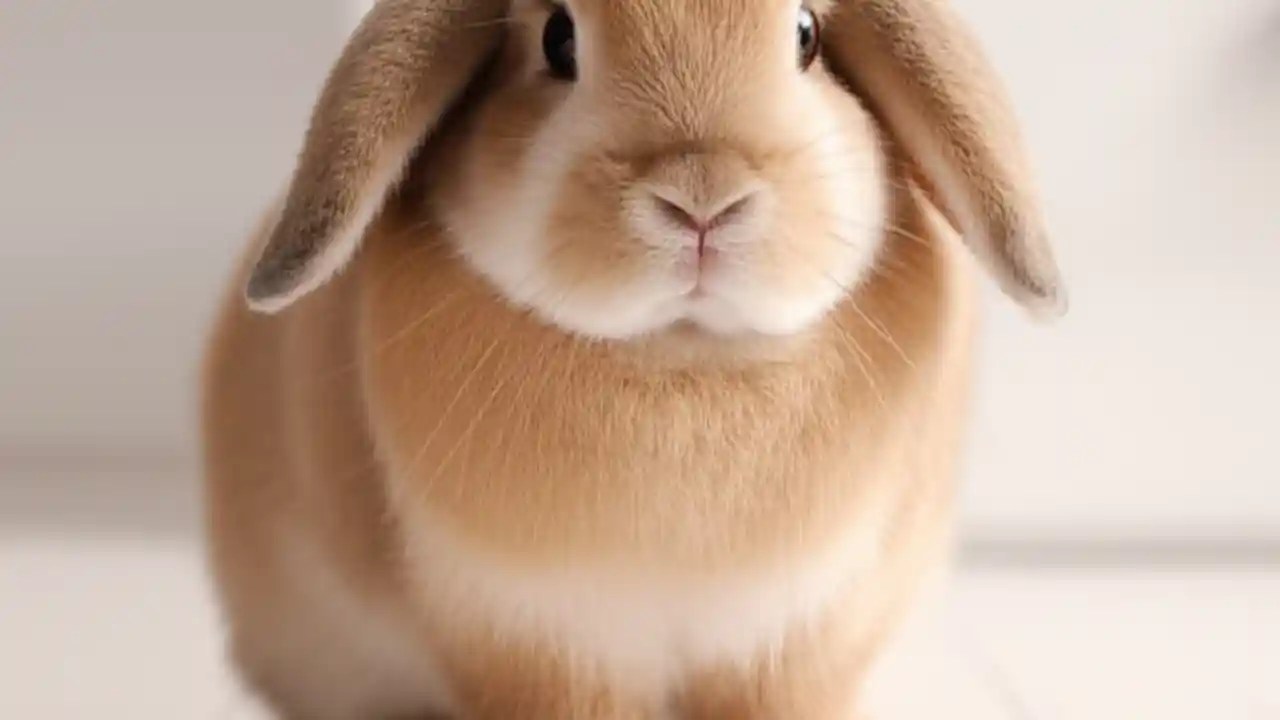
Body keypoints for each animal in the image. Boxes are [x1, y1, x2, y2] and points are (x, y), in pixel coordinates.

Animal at [202, 0, 1064, 718]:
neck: (681, 359)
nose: (703, 198)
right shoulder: (540, 643)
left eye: (807, 36)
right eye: (558, 39)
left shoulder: (791, 645)